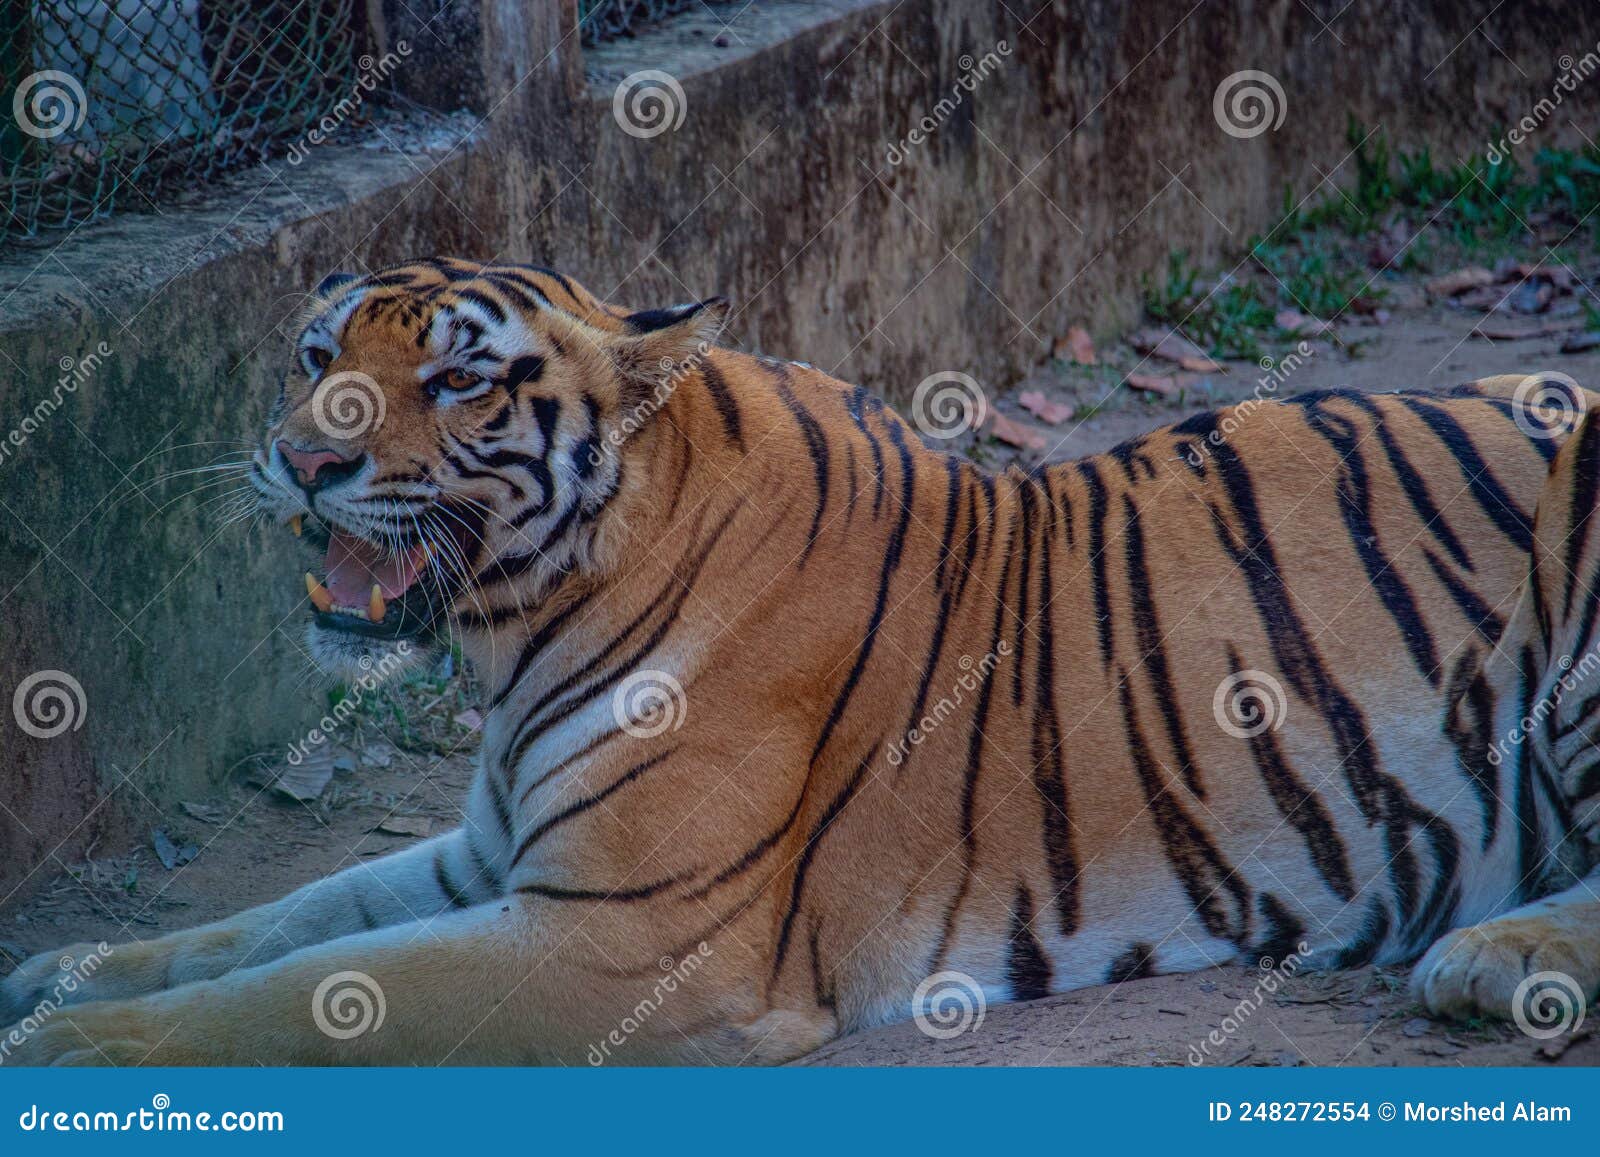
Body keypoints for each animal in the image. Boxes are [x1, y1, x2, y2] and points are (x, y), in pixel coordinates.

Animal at [4, 256, 1599, 1066]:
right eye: (313, 352)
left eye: (455, 378)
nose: (302, 458)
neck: (515, 634)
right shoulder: (497, 855)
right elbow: (275, 925)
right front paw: (61, 969)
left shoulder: (626, 937)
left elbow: (297, 996)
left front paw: (71, 1051)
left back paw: (1495, 959)